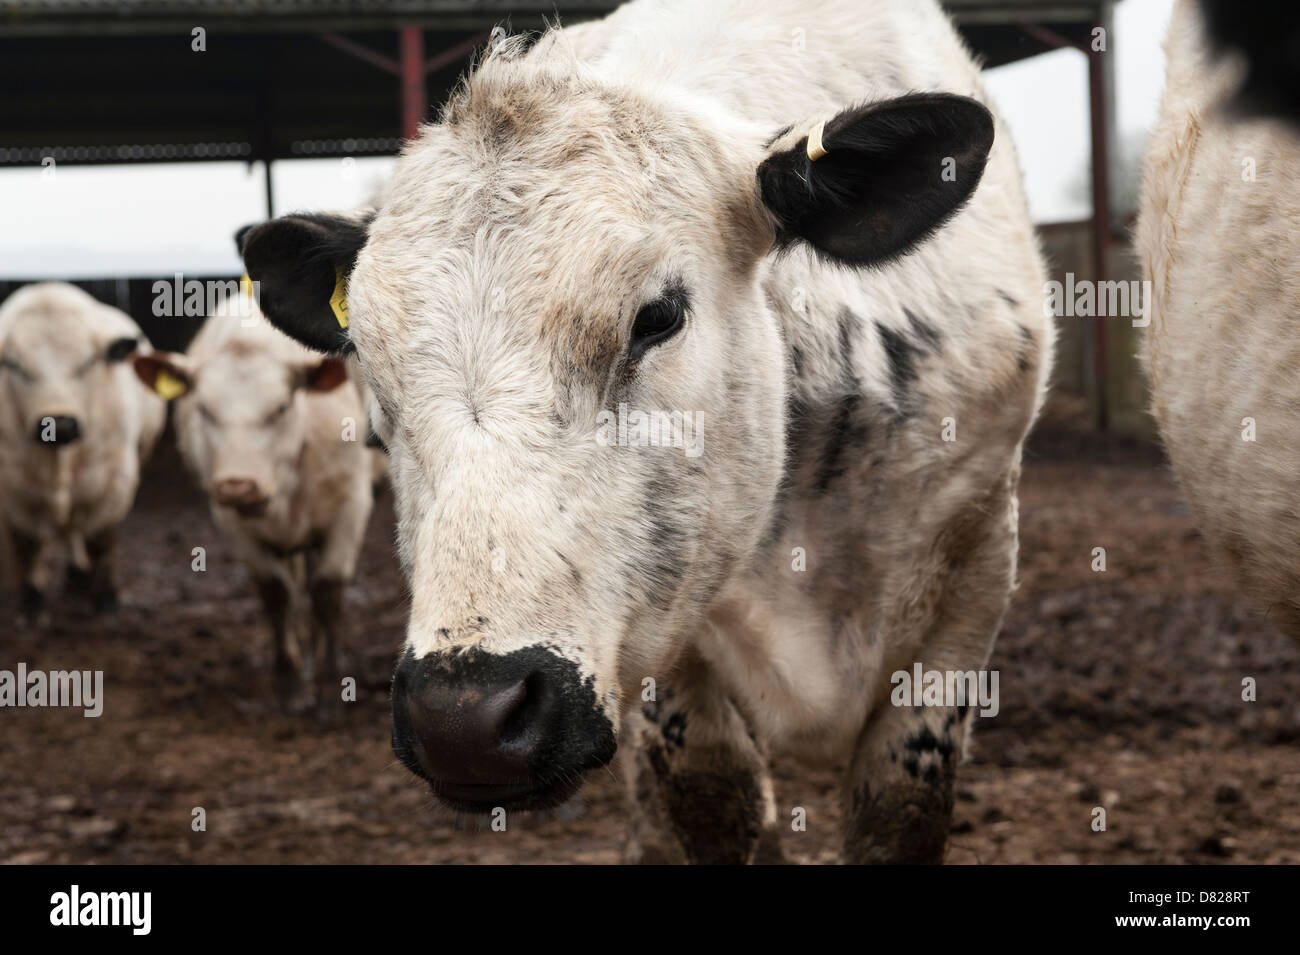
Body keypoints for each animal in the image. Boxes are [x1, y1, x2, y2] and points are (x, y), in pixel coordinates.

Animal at [0, 282, 165, 620]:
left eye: (88, 363)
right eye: (15, 366)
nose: (60, 424)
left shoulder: (112, 482)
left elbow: (100, 540)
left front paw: (106, 595)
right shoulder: (12, 488)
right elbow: (27, 543)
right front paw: (31, 596)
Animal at [132, 304, 374, 706]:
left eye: (281, 407)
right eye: (203, 409)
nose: (238, 485)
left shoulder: (351, 504)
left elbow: (327, 590)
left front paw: (332, 678)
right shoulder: (233, 523)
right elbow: (275, 593)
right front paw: (289, 679)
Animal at [238, 0, 1052, 863]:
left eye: (657, 316)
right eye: (369, 353)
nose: (462, 719)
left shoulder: (975, 561)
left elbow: (901, 801)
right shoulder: (672, 637)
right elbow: (717, 797)